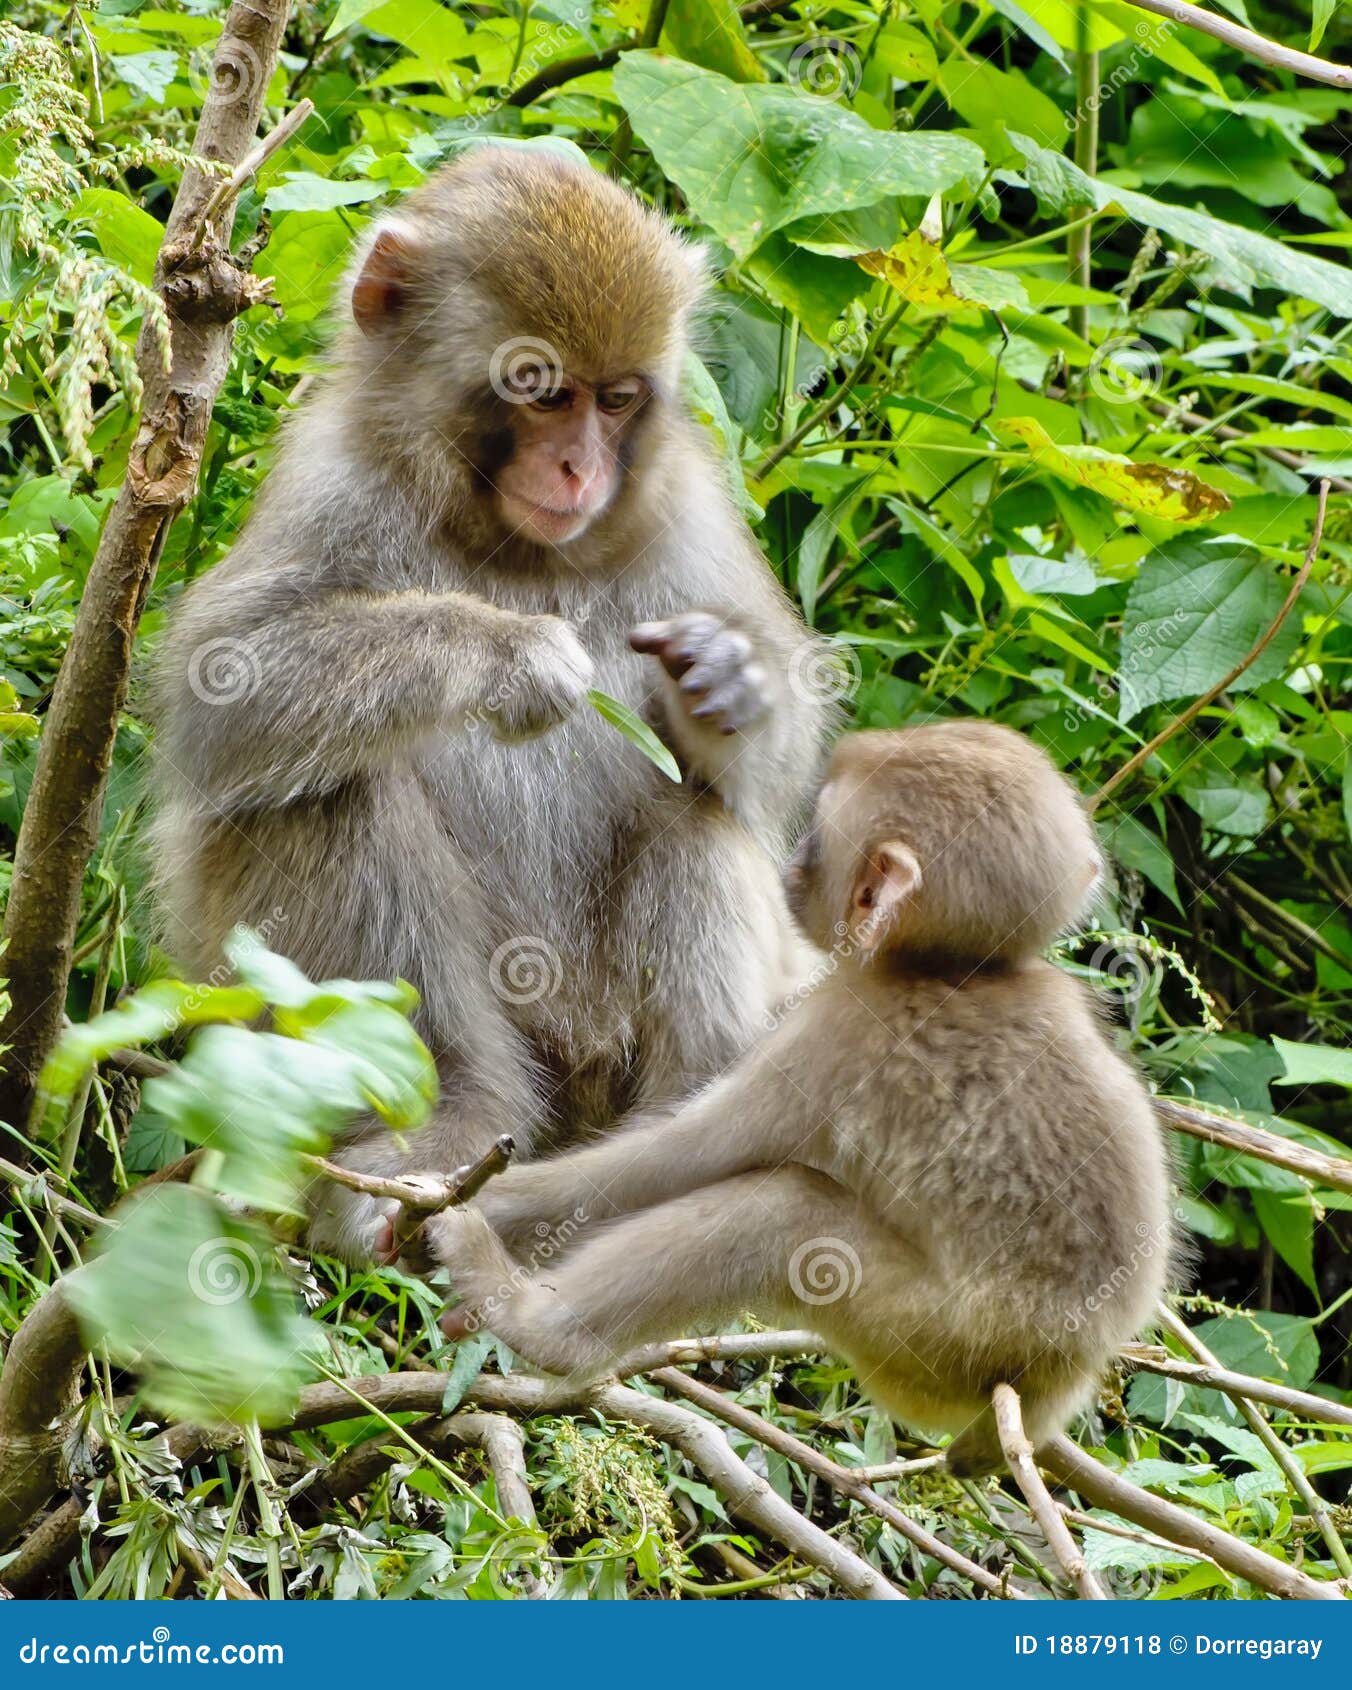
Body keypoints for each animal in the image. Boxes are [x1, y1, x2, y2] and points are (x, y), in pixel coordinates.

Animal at [148, 144, 832, 1263]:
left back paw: (682, 1135)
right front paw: (510, 654)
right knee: (324, 790)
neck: (506, 544)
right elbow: (226, 691)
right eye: (539, 392)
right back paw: (438, 1134)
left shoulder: (685, 506)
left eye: (616, 399)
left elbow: (774, 776)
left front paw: (727, 676)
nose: (581, 468)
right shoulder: (331, 480)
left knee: (696, 813)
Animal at [426, 721, 1174, 1474]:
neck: (955, 971)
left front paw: (444, 1197)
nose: (790, 863)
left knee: (784, 1216)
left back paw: (536, 1324)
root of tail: (1061, 1374)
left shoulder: (840, 1033)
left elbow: (677, 1157)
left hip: (934, 1338)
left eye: (817, 832)